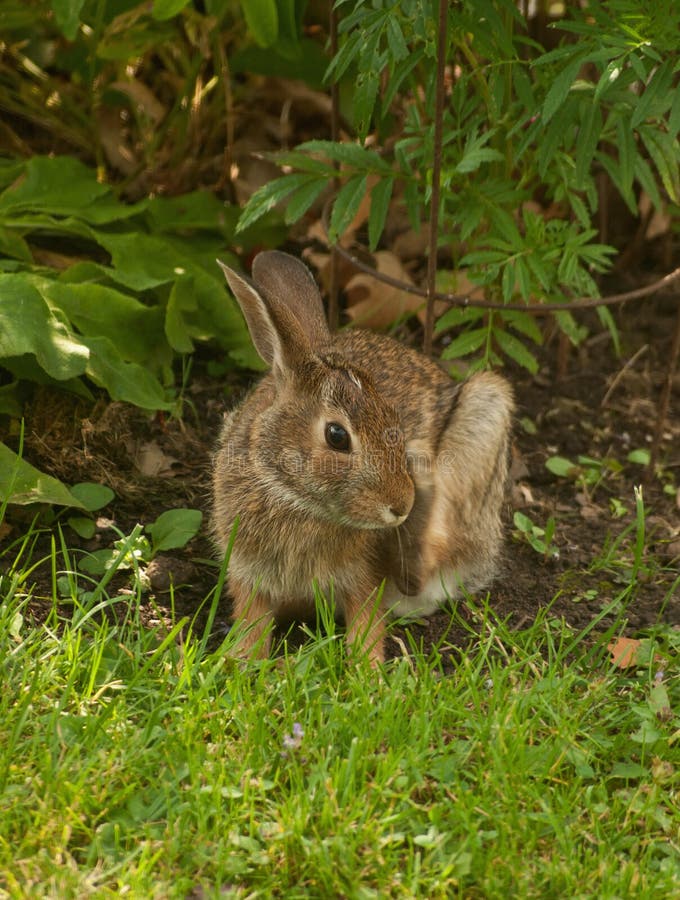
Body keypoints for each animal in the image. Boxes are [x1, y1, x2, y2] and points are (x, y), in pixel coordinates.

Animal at [212, 250, 514, 665]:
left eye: (394, 419)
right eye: (337, 436)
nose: (400, 507)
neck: (294, 497)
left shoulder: (363, 576)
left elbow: (366, 622)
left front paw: (366, 670)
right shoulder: (248, 571)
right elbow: (252, 622)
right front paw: (244, 661)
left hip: (486, 411)